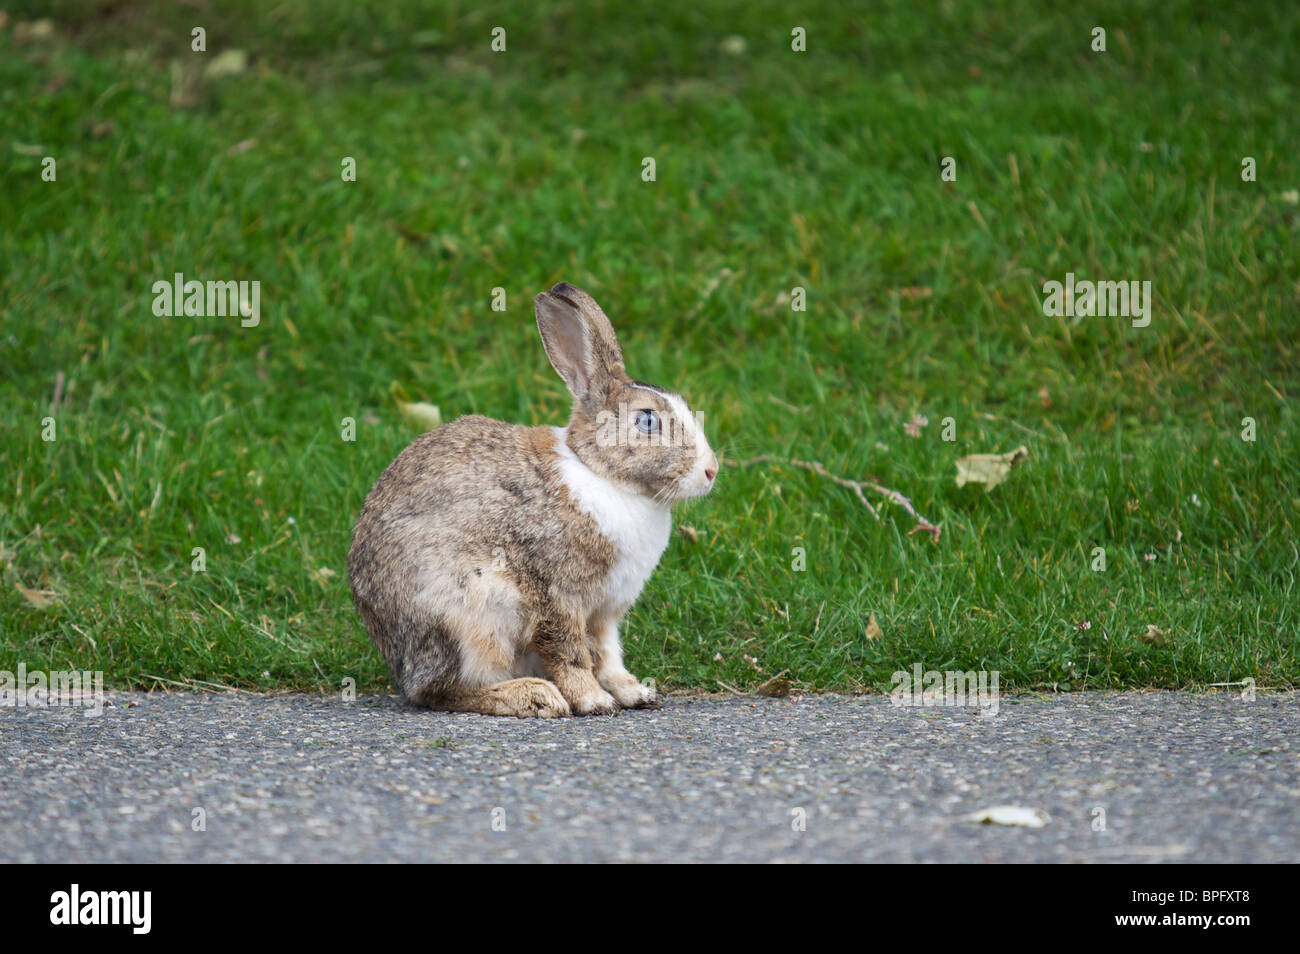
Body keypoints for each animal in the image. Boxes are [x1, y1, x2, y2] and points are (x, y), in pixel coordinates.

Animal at [348, 282, 718, 717]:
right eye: (646, 420)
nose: (711, 471)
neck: (600, 473)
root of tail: (395, 654)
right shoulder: (555, 597)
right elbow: (570, 653)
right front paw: (593, 700)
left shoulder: (604, 613)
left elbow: (608, 655)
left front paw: (634, 692)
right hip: (468, 617)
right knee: (440, 690)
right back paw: (533, 696)